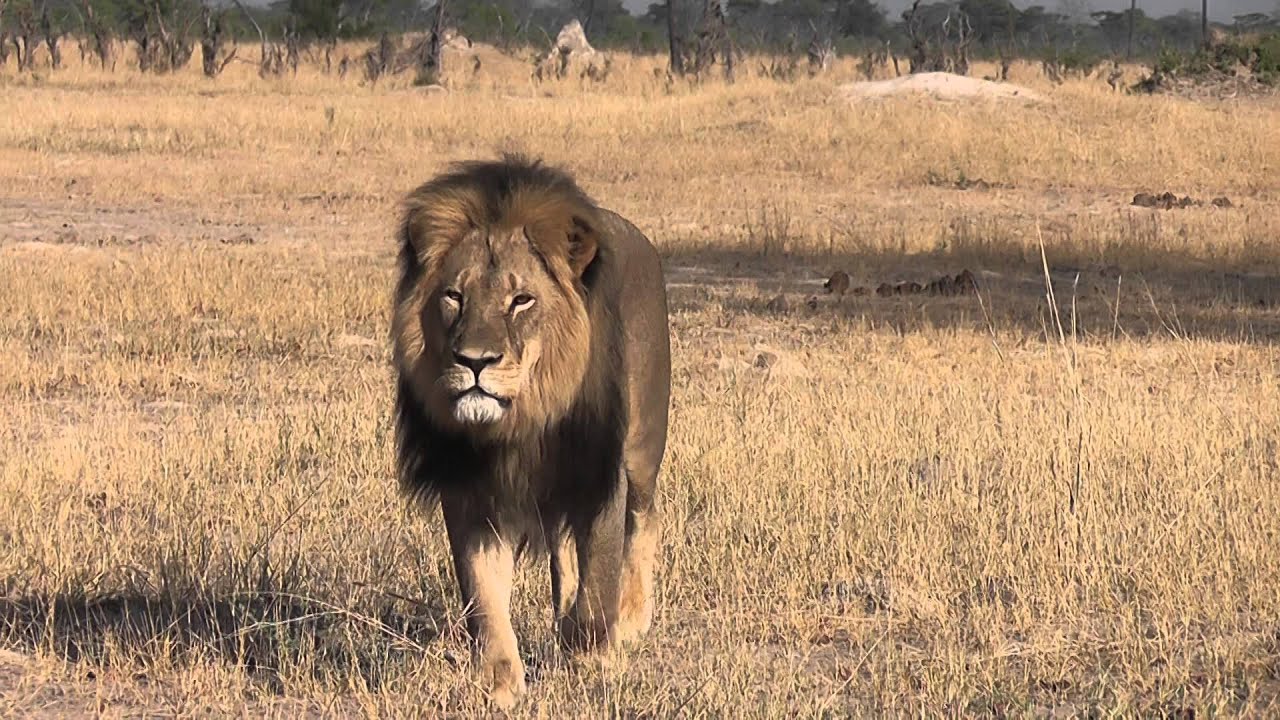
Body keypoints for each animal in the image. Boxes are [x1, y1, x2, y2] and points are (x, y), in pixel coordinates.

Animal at [390, 155, 671, 707]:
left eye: (521, 300)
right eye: (453, 296)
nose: (475, 361)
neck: (522, 424)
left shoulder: (598, 471)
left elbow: (601, 572)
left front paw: (593, 657)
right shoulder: (471, 494)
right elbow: (484, 597)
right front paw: (499, 684)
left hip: (644, 448)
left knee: (643, 523)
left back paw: (630, 621)